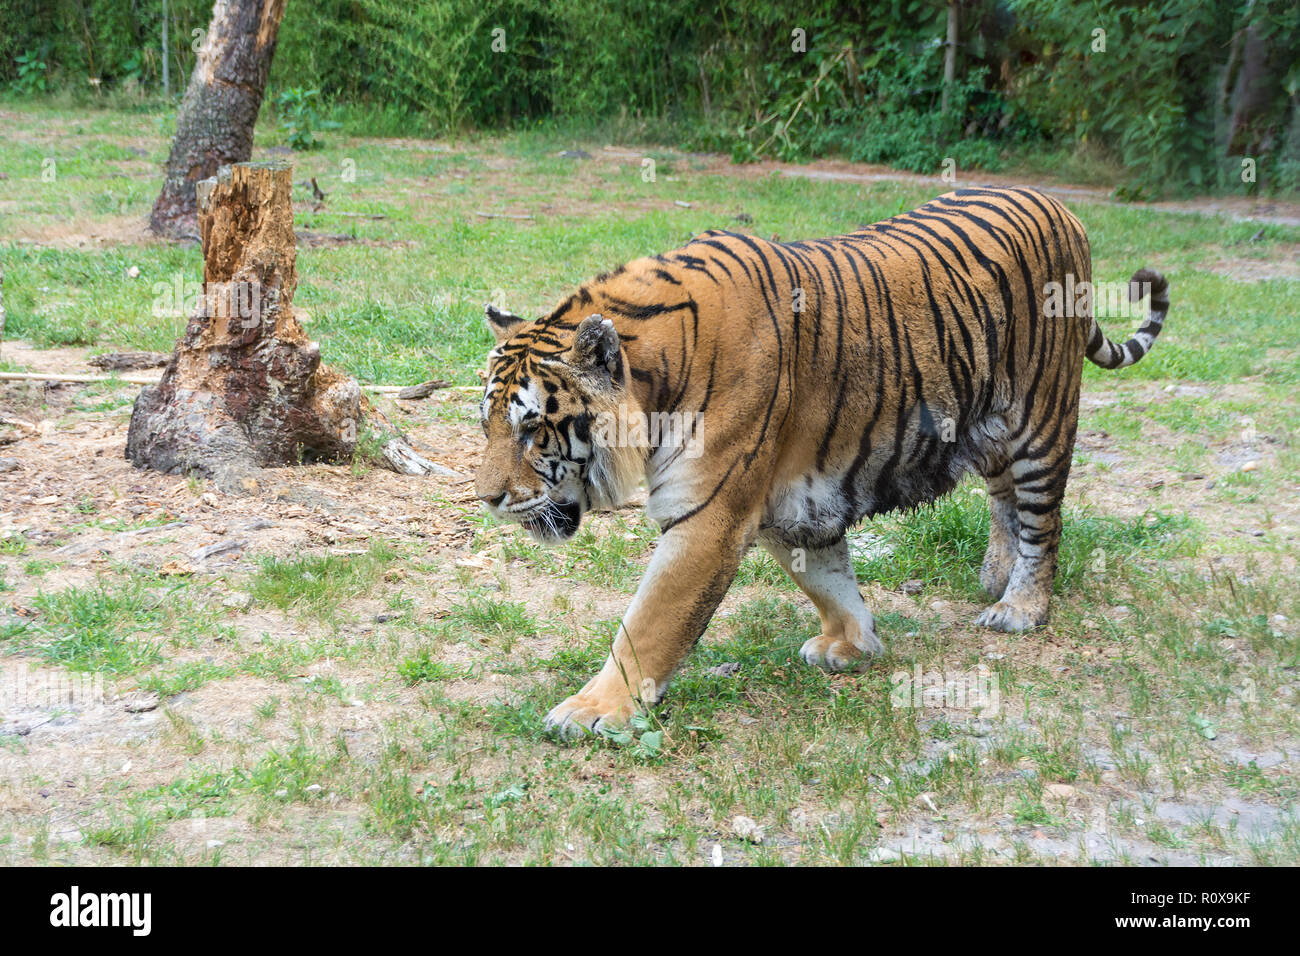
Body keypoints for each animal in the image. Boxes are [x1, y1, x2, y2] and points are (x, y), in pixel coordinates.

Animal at [475, 186, 1169, 738]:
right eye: (487, 422)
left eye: (533, 428)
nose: (487, 499)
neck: (657, 381)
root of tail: (1062, 207)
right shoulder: (788, 497)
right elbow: (828, 579)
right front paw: (855, 643)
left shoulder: (710, 517)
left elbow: (648, 622)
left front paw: (592, 709)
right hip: (987, 421)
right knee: (1005, 499)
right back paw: (994, 575)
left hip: (1041, 418)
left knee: (1044, 521)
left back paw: (1020, 607)